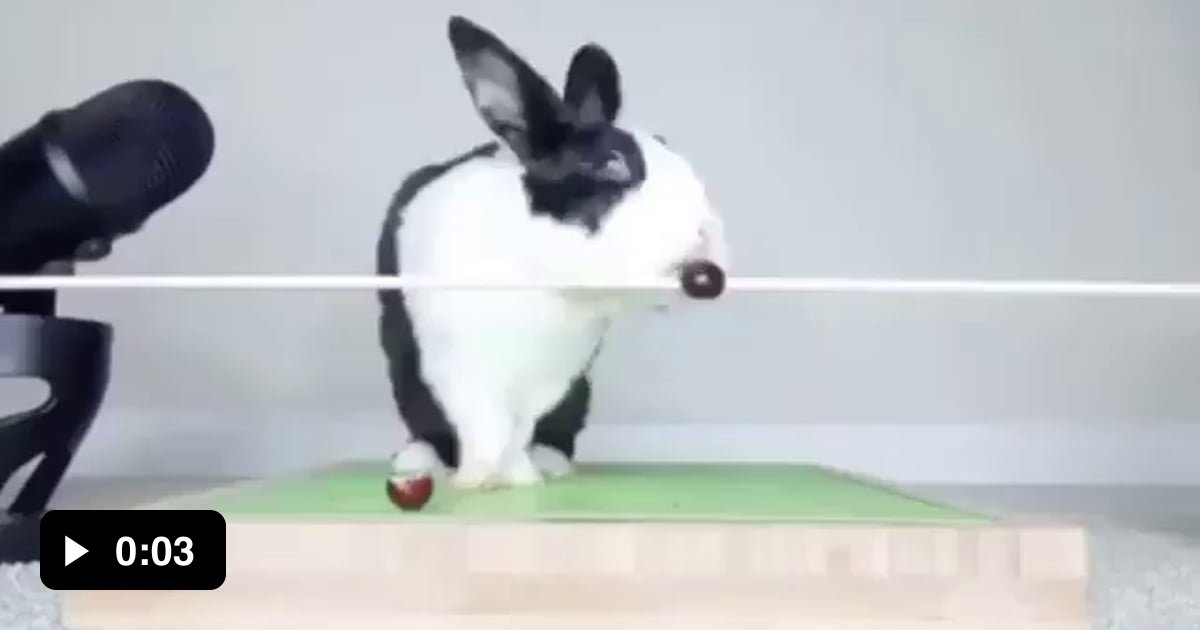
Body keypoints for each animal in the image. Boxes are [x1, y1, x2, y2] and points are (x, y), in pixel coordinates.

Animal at [376, 15, 730, 490]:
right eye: (611, 164)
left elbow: (518, 430)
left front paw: (522, 479)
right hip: (406, 373)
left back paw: (548, 462)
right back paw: (419, 461)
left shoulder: (551, 379)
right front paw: (476, 481)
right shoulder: (456, 369)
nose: (706, 241)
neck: (541, 271)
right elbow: (483, 425)